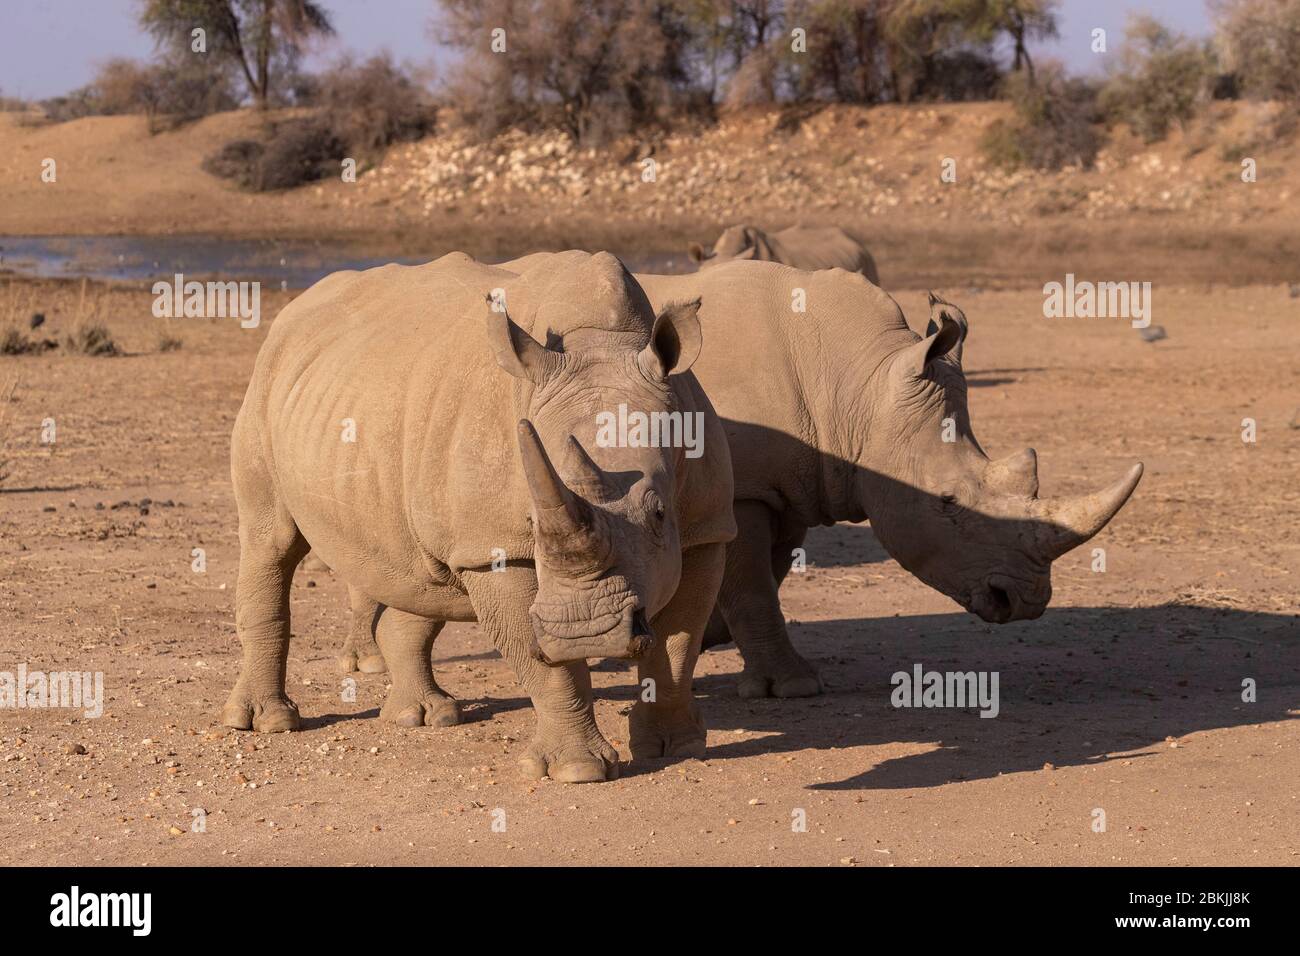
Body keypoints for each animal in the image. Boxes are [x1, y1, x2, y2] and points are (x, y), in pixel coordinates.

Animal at [221, 251, 735, 782]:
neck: (603, 344)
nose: (585, 633)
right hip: (266, 387)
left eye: (658, 513)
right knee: (271, 542)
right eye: (532, 523)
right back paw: (268, 722)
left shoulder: (706, 527)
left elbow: (677, 646)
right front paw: (577, 771)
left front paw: (678, 746)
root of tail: (293, 315)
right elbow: (542, 659)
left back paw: (425, 716)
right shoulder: (496, 546)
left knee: (419, 573)